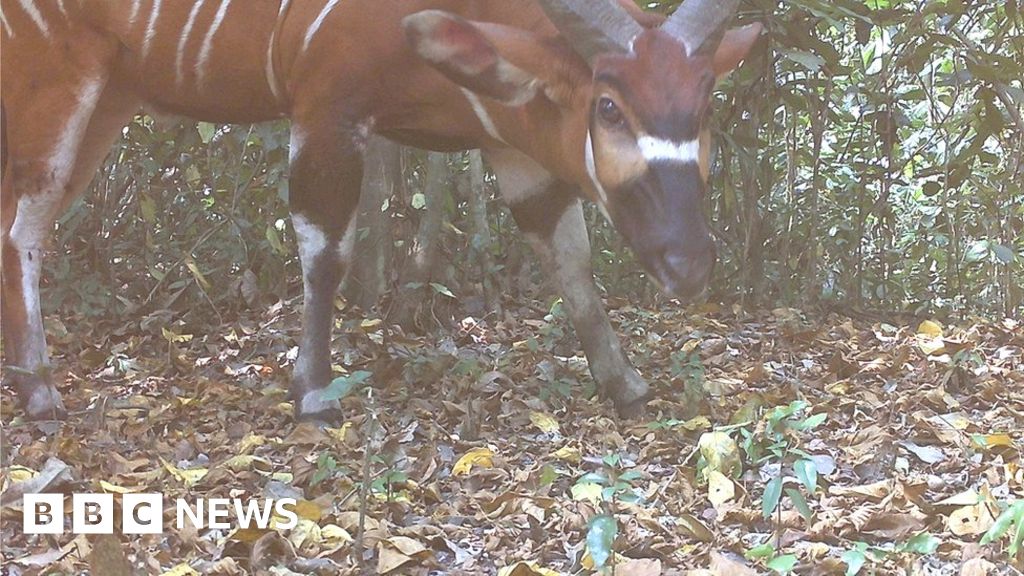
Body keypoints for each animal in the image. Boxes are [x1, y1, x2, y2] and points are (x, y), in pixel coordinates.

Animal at [0, 0, 761, 422]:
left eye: (706, 102)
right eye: (609, 106)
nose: (690, 262)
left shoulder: (506, 141)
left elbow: (569, 258)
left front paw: (624, 385)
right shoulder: (328, 111)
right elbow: (325, 252)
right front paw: (313, 393)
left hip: (112, 95)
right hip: (57, 76)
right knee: (25, 225)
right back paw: (40, 396)